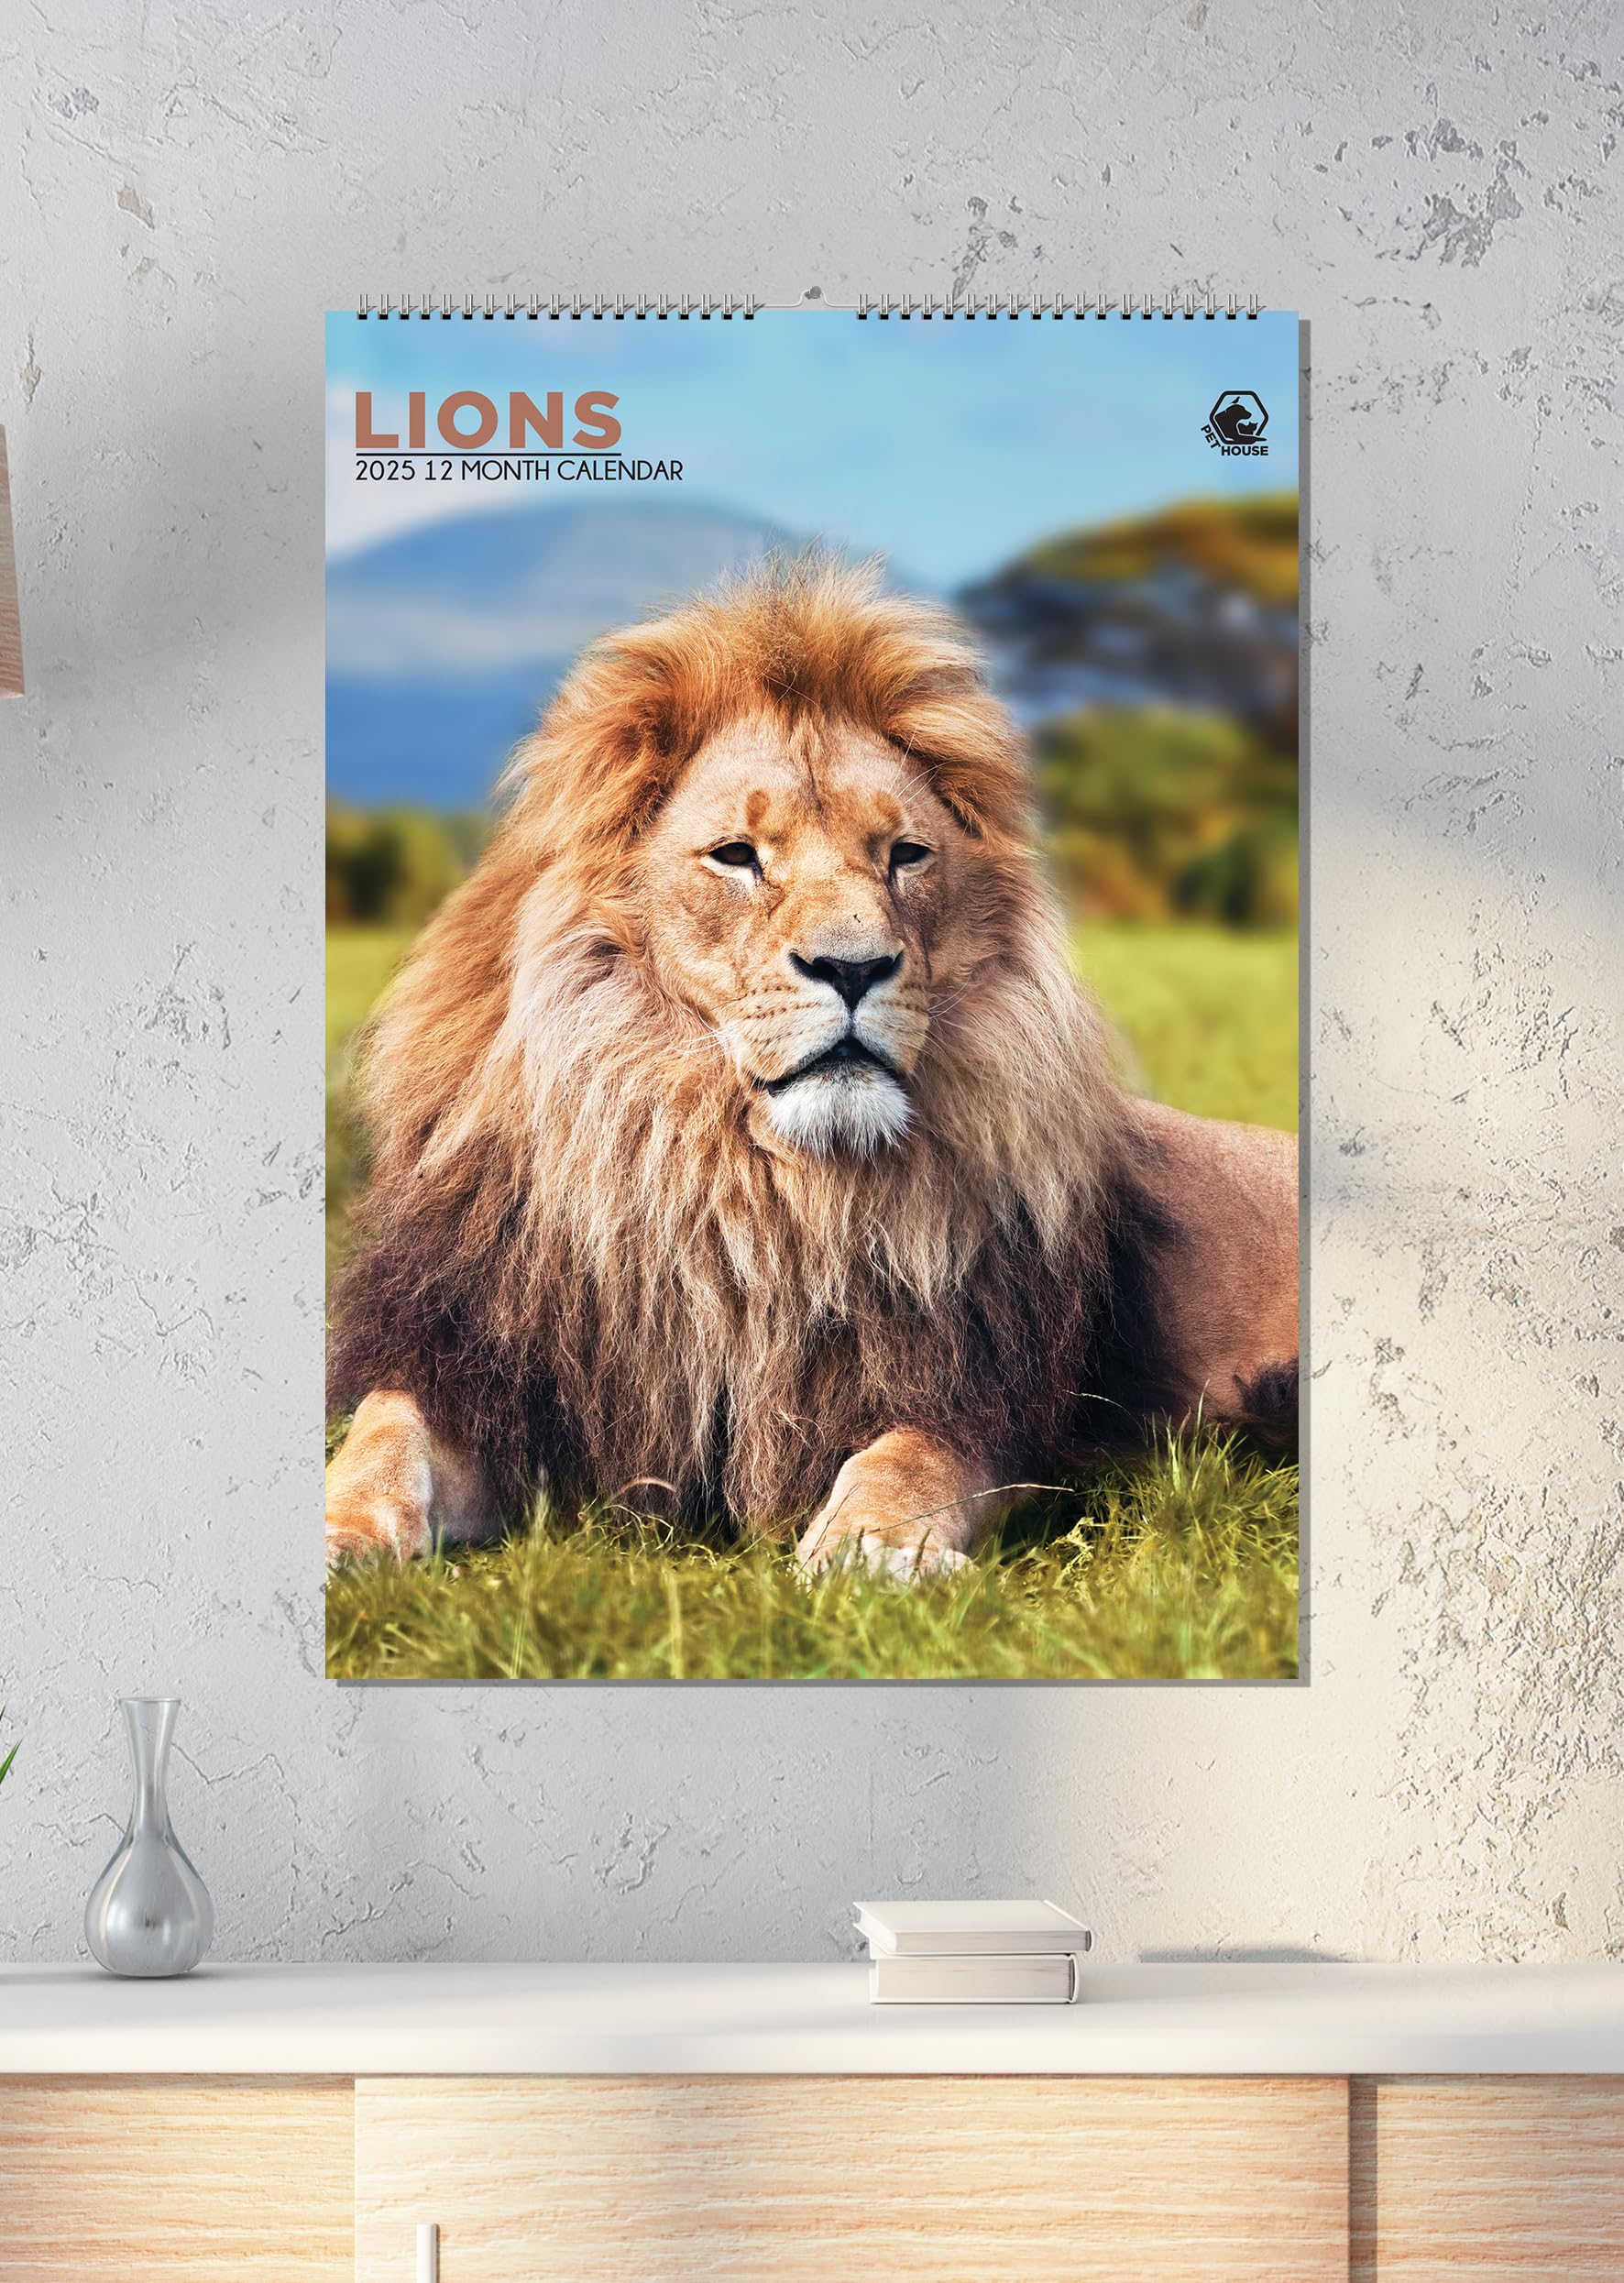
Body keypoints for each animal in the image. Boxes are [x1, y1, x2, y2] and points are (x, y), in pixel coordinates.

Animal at [326, 557, 1297, 1577]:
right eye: (736, 856)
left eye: (905, 855)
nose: (855, 966)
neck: (745, 1186)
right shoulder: (477, 1367)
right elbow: (381, 1437)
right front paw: (338, 1534)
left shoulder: (976, 1399)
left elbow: (901, 1463)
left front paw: (871, 1551)